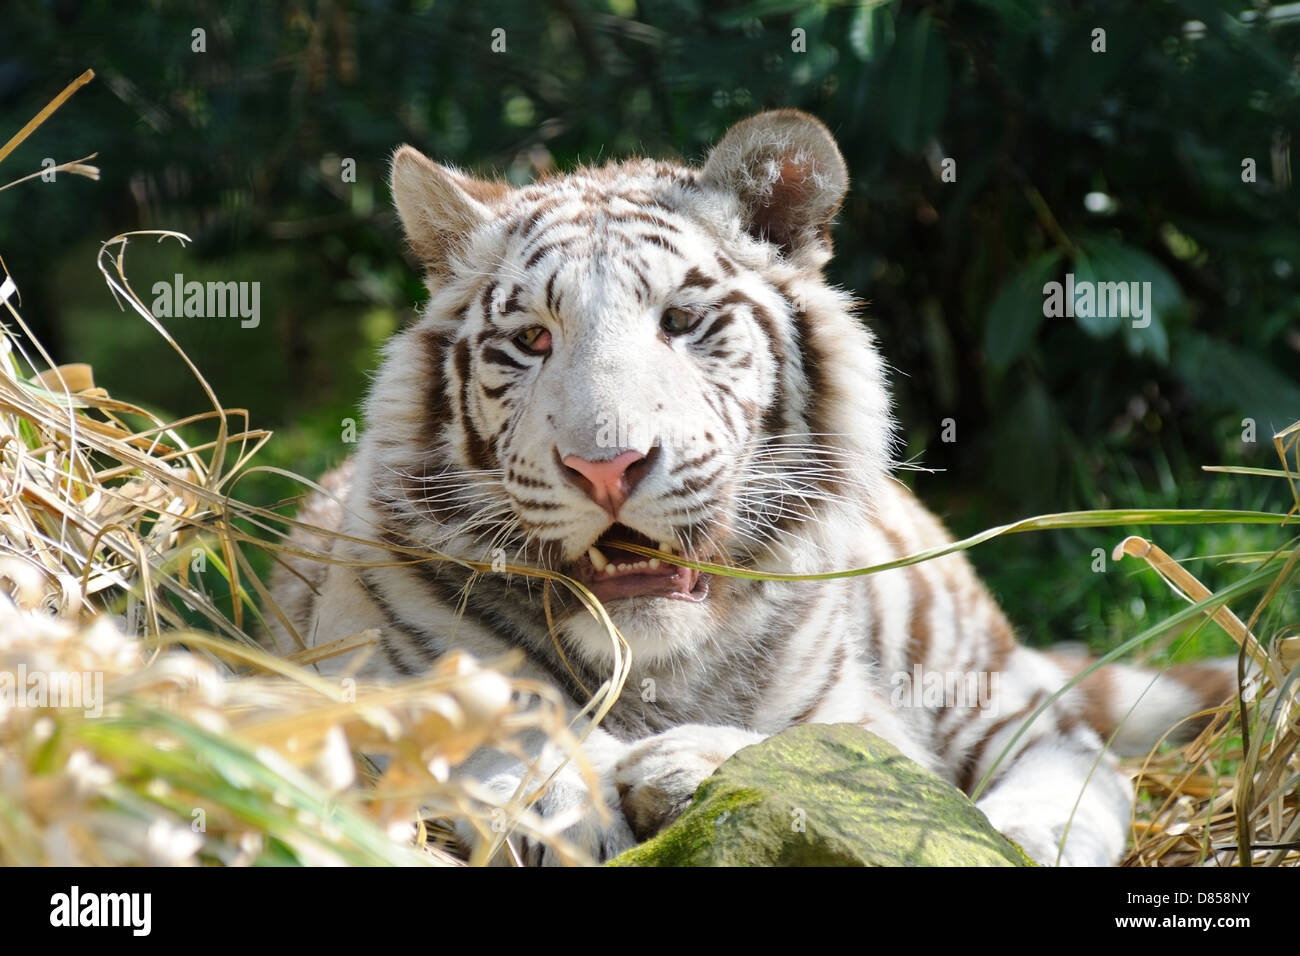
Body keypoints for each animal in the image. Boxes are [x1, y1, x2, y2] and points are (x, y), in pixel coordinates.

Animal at [269, 110, 1234, 866]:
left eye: (681, 321)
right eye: (533, 339)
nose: (607, 465)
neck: (655, 670)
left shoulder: (870, 713)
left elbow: (838, 746)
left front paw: (680, 764)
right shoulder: (345, 691)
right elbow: (476, 731)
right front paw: (561, 799)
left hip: (962, 669)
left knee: (1073, 758)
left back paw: (1027, 835)